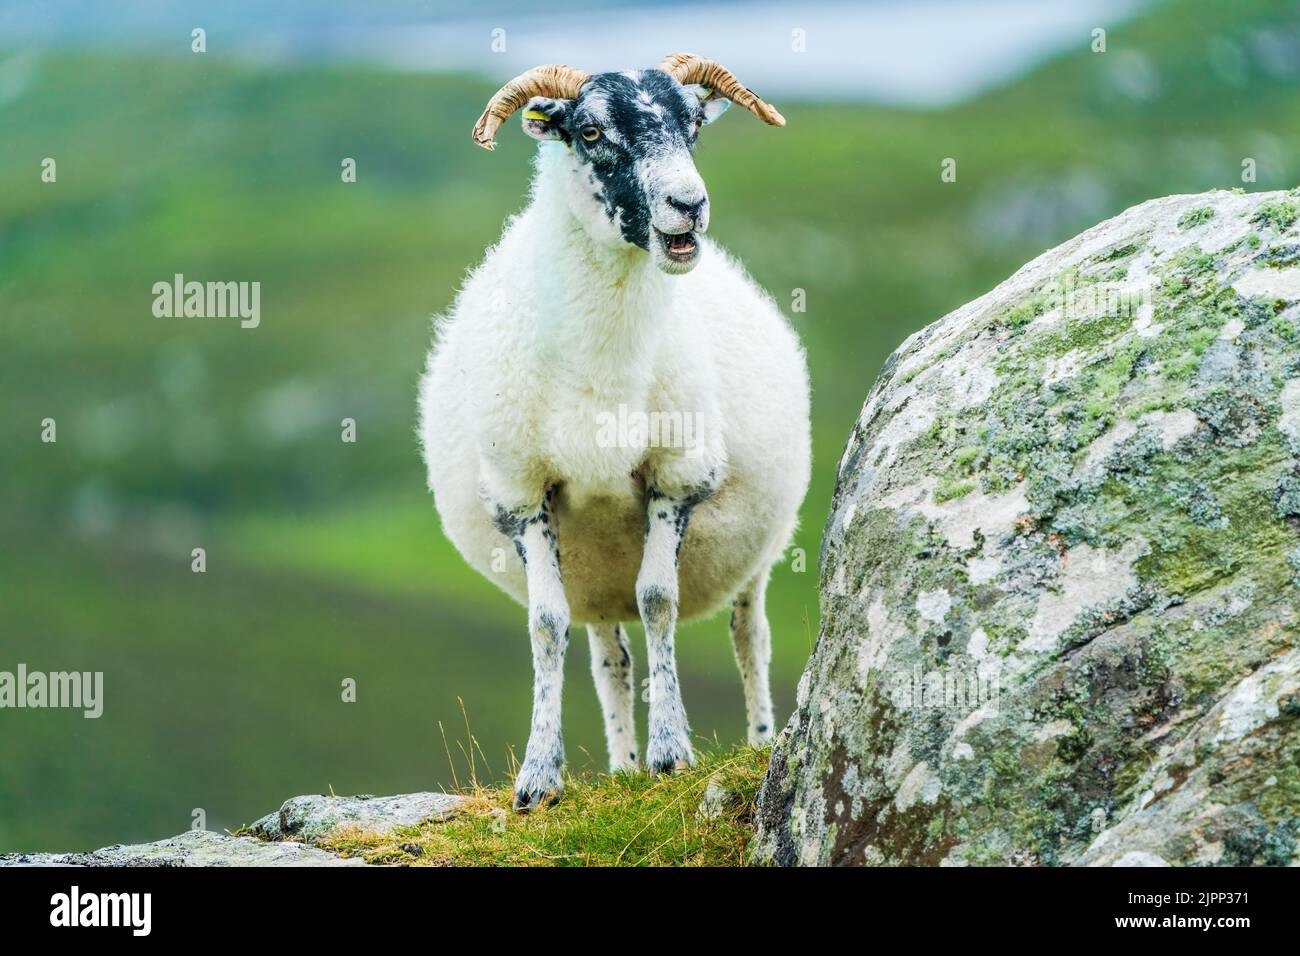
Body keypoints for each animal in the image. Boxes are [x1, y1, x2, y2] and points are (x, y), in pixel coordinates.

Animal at [418, 54, 811, 810]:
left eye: (692, 125)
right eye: (592, 130)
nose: (689, 205)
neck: (602, 371)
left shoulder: (678, 476)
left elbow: (659, 601)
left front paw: (672, 753)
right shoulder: (521, 493)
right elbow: (546, 626)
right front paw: (540, 776)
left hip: (759, 548)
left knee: (750, 636)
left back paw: (757, 741)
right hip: (594, 572)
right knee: (610, 659)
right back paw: (622, 767)